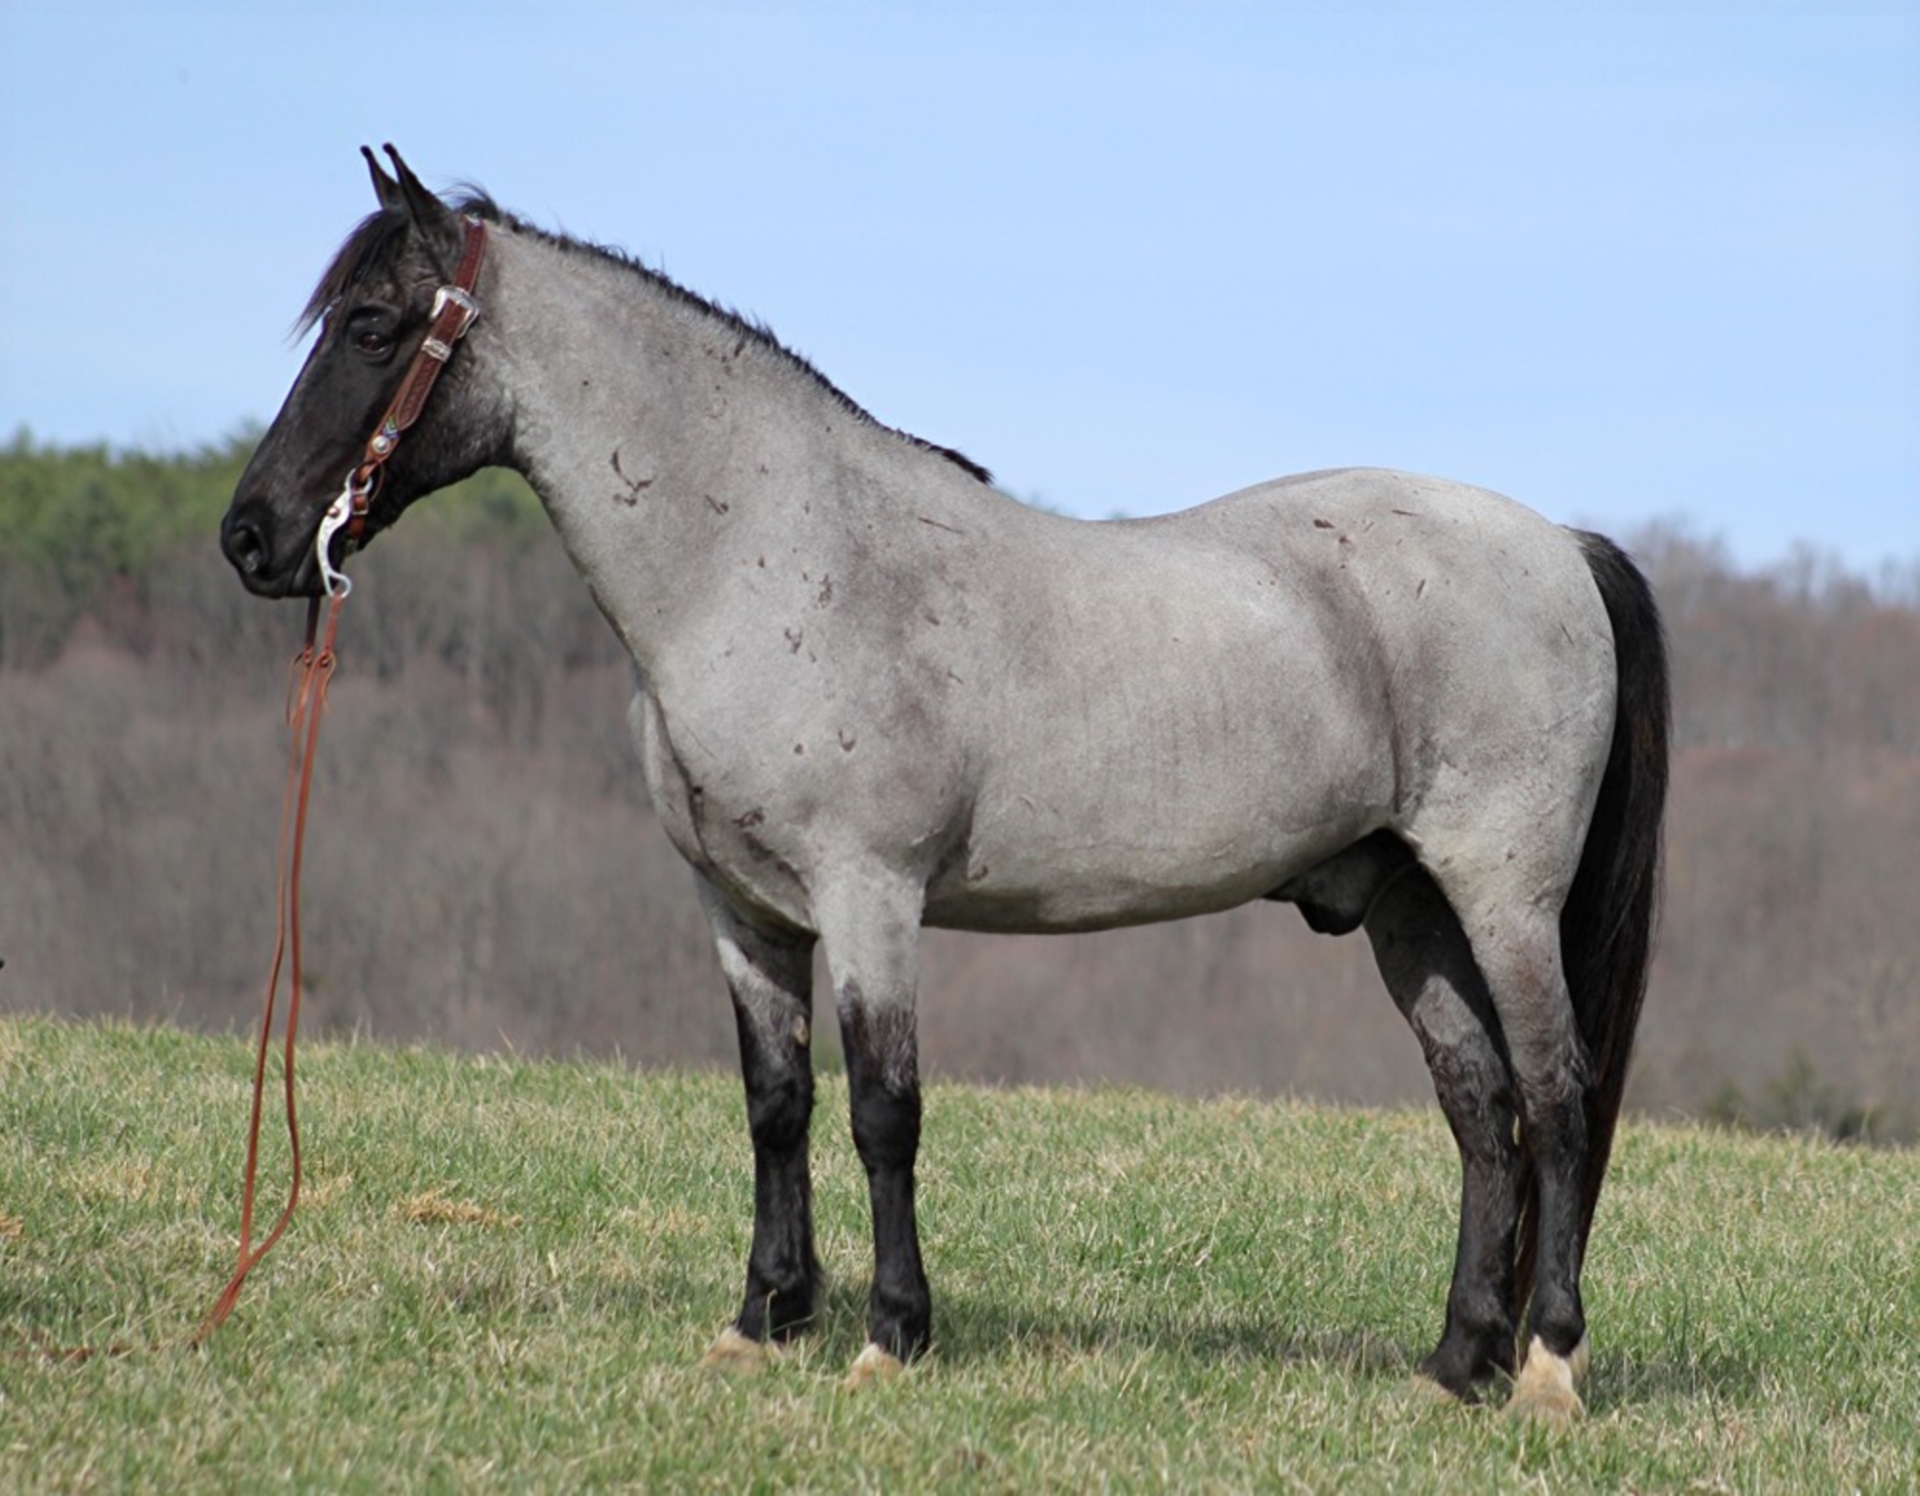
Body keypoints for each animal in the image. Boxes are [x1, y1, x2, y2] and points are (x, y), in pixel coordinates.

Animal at [221, 147, 1667, 1418]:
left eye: (370, 326)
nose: (252, 537)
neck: (776, 556)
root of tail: (1564, 544)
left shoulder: (871, 898)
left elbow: (883, 1111)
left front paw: (890, 1336)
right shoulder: (742, 912)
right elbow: (777, 1105)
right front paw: (762, 1320)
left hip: (1502, 900)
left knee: (1556, 1100)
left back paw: (1545, 1368)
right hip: (1411, 915)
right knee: (1482, 1115)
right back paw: (1452, 1364)